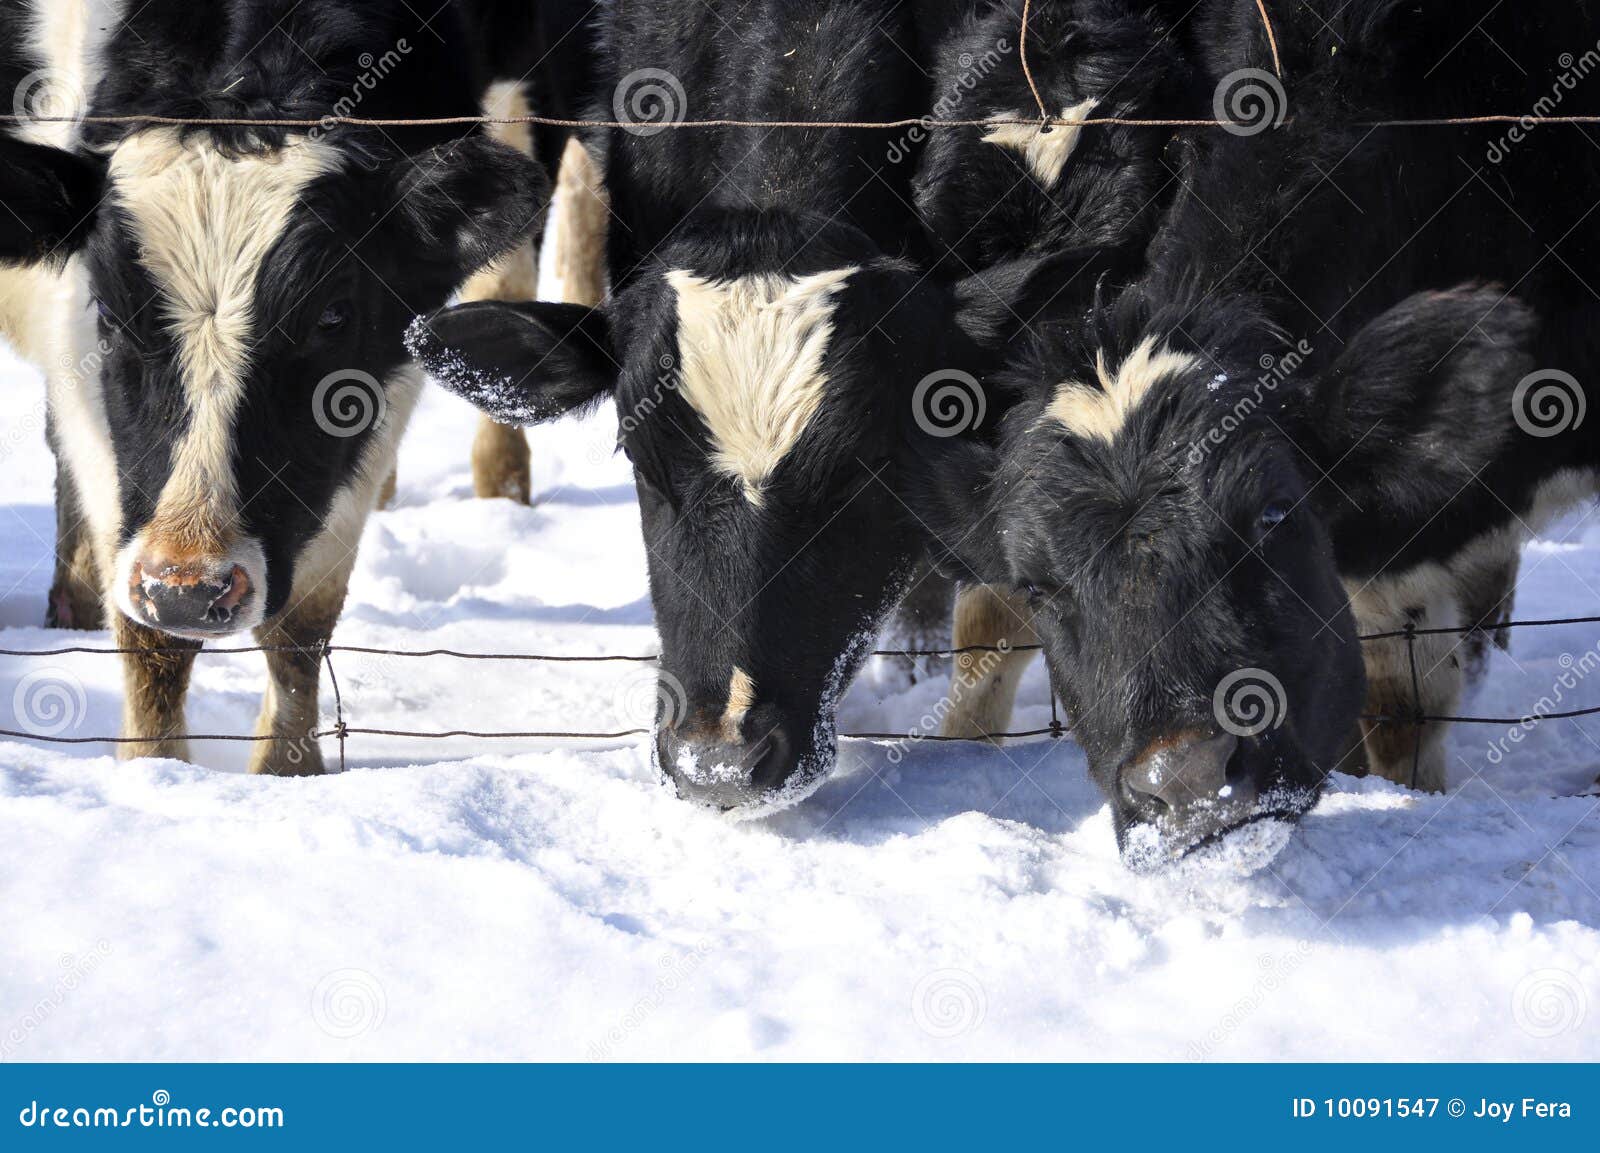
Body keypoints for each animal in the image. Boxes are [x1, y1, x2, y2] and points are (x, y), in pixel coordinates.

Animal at [0, 0, 599, 774]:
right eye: (110, 313)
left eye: (332, 316)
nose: (191, 588)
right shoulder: (73, 333)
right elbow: (151, 639)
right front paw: (155, 770)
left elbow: (301, 623)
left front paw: (288, 775)